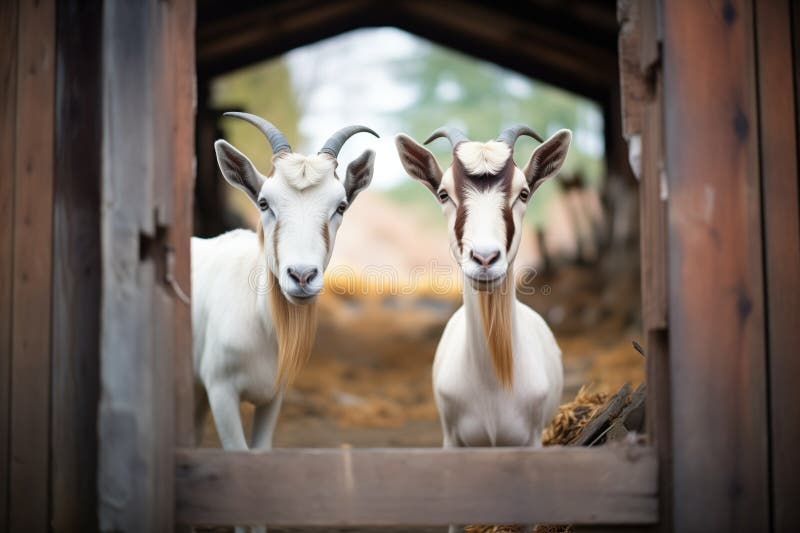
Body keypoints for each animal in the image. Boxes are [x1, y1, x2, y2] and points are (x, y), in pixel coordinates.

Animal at [396, 125, 569, 532]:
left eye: (524, 192)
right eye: (444, 193)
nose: (486, 259)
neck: (492, 386)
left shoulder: (529, 445)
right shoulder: (453, 444)